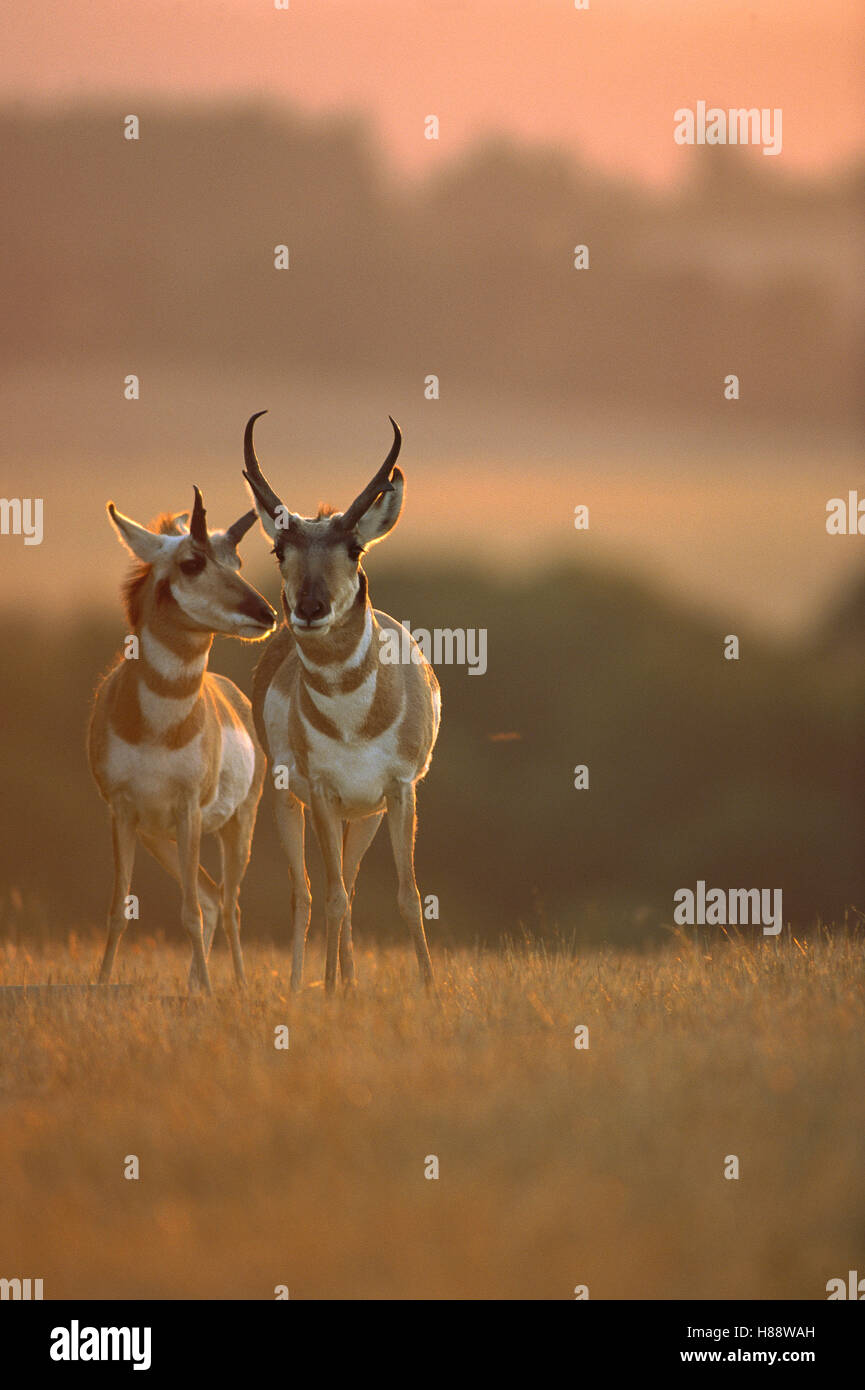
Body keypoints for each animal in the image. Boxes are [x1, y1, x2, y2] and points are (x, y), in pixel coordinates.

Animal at [88, 488, 277, 993]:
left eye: (236, 560)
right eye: (192, 562)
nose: (267, 613)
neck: (157, 729)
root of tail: (232, 695)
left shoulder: (188, 808)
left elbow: (189, 912)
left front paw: (210, 992)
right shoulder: (123, 812)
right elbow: (117, 911)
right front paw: (100, 987)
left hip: (235, 826)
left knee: (226, 905)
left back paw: (235, 986)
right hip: (160, 836)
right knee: (211, 898)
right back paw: (195, 985)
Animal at [243, 411, 440, 993]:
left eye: (354, 548)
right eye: (279, 551)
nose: (309, 608)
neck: (354, 721)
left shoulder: (399, 792)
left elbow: (408, 897)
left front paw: (429, 990)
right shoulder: (325, 796)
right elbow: (330, 898)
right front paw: (329, 991)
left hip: (366, 814)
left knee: (347, 884)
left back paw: (347, 981)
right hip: (292, 805)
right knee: (310, 894)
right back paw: (306, 987)